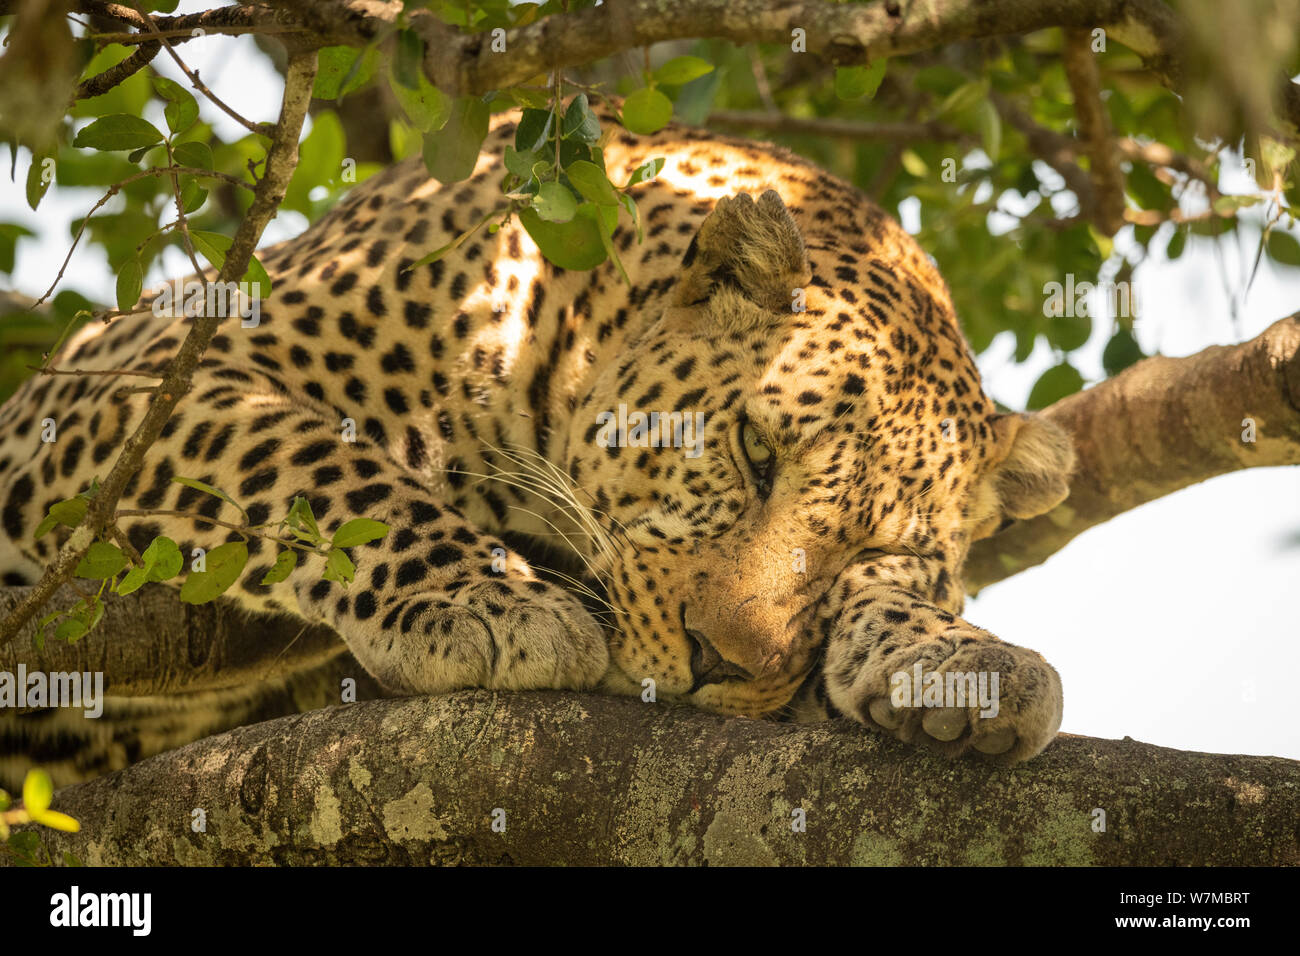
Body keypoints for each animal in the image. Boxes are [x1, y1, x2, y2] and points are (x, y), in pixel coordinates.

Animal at [0, 108, 1075, 790]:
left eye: (879, 551)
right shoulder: (126, 386)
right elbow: (317, 460)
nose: (718, 663)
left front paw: (960, 657)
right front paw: (487, 602)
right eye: (754, 452)